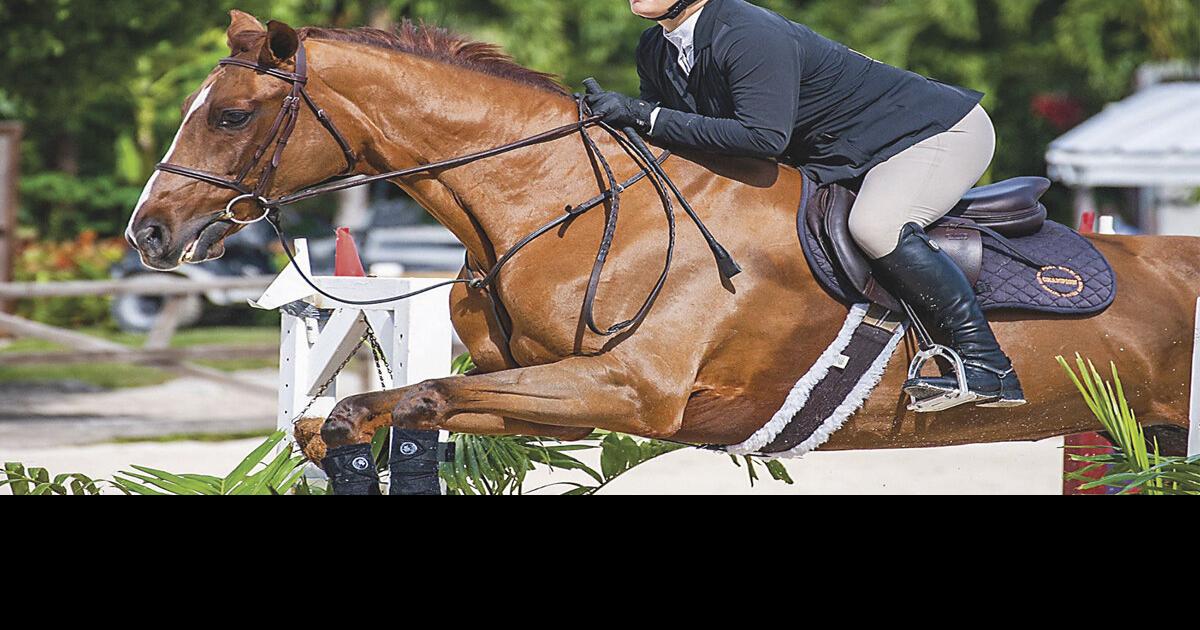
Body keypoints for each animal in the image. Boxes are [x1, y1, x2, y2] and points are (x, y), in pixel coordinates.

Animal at [127, 10, 1197, 467]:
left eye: (228, 116)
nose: (149, 232)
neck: (557, 203)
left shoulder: (627, 389)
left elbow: (415, 392)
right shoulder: (552, 396)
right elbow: (391, 404)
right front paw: (329, 437)